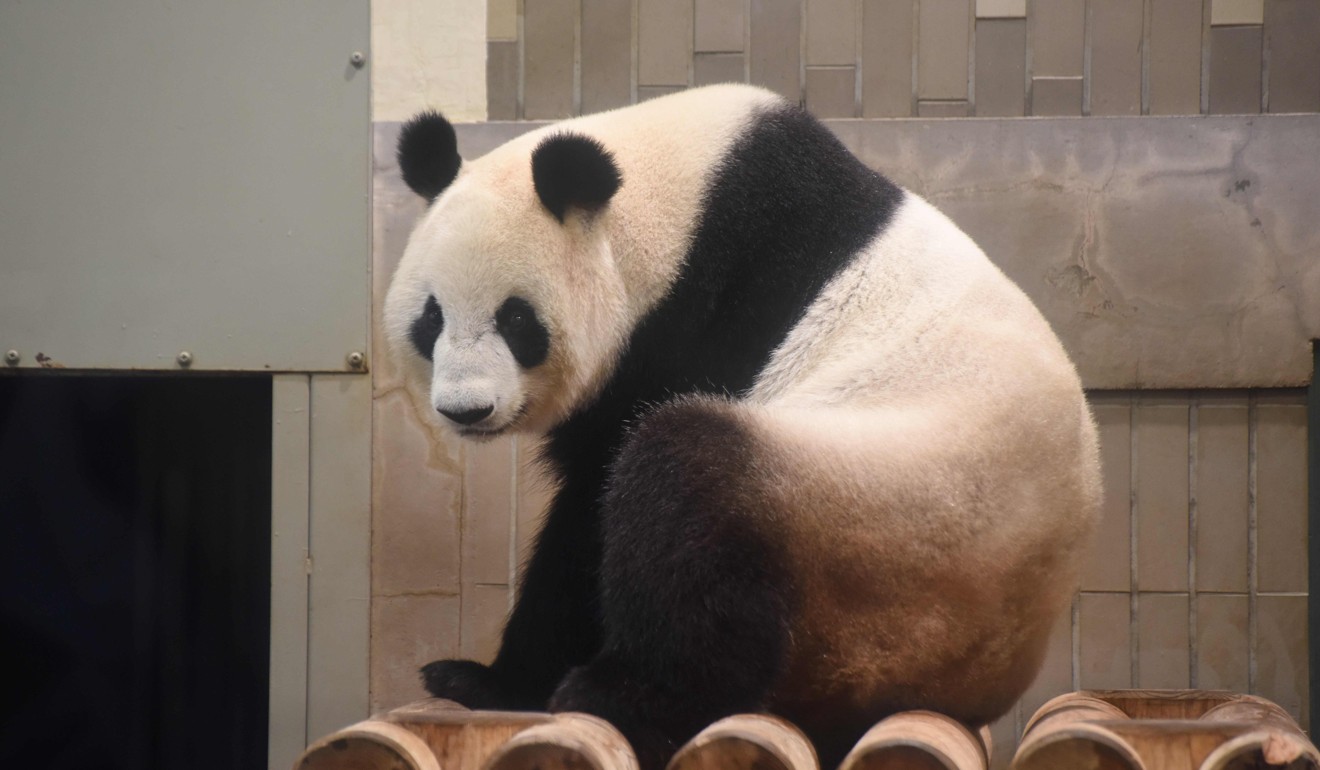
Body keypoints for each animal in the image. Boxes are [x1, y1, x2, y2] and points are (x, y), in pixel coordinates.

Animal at [384, 83, 1101, 768]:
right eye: (432, 317)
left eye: (517, 320)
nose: (466, 409)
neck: (670, 207)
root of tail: (975, 685)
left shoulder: (704, 316)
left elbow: (593, 507)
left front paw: (491, 678)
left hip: (873, 527)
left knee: (693, 497)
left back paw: (626, 693)